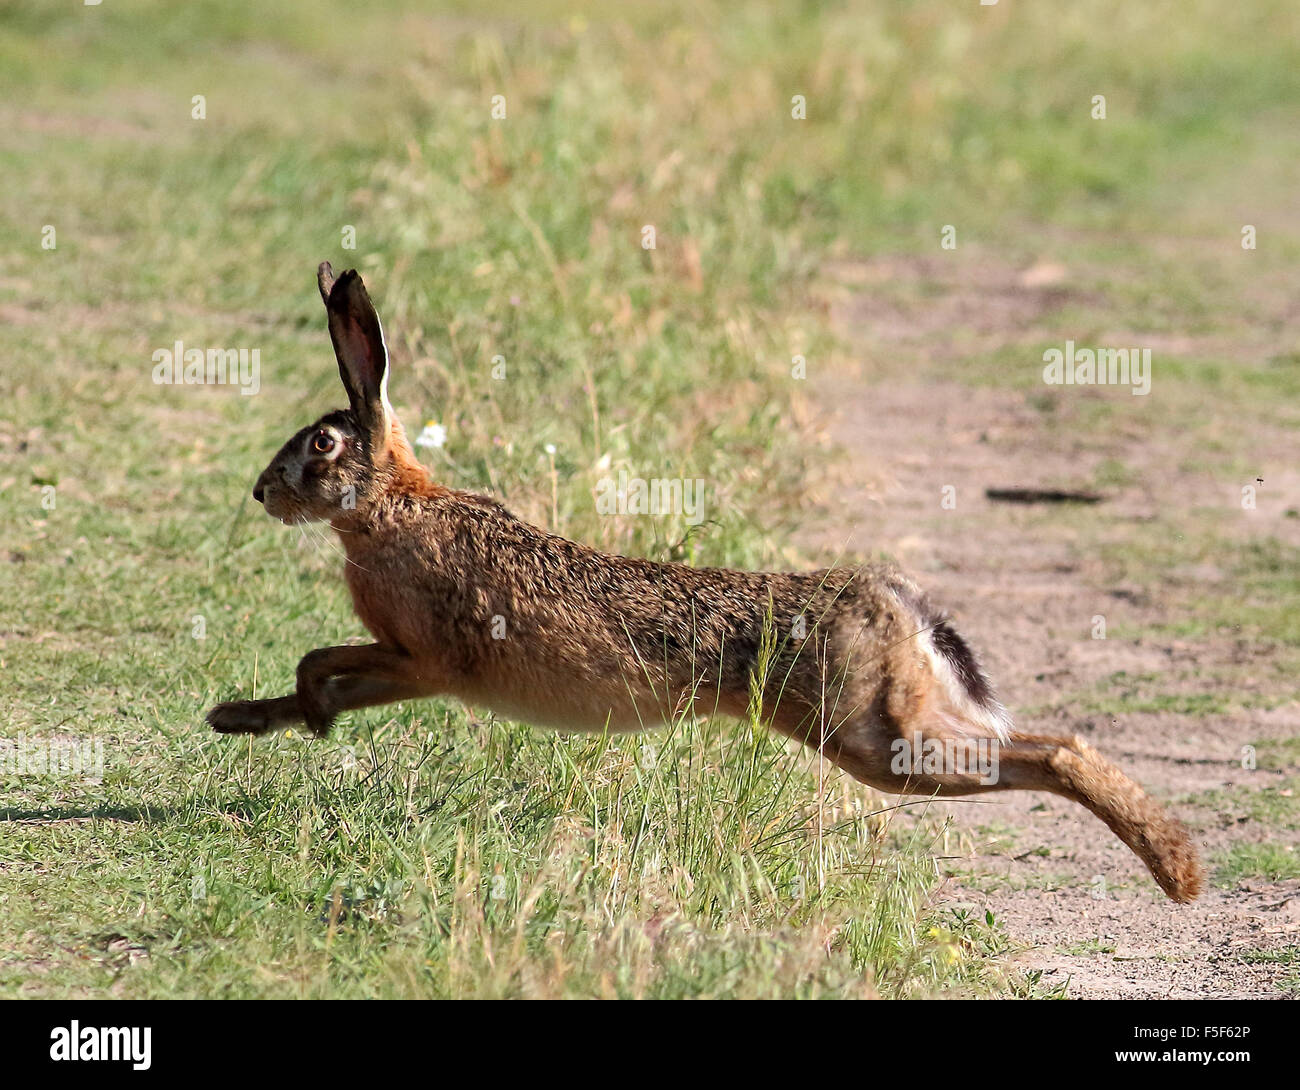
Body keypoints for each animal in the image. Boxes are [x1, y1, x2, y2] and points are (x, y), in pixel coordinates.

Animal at [207, 263, 1204, 903]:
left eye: (321, 446)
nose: (260, 492)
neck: (392, 506)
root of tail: (894, 604)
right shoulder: (407, 663)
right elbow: (323, 675)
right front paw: (245, 719)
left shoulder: (426, 660)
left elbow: (317, 660)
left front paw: (293, 713)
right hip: (897, 723)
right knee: (1048, 740)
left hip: (871, 740)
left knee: (1053, 754)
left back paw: (1179, 871)